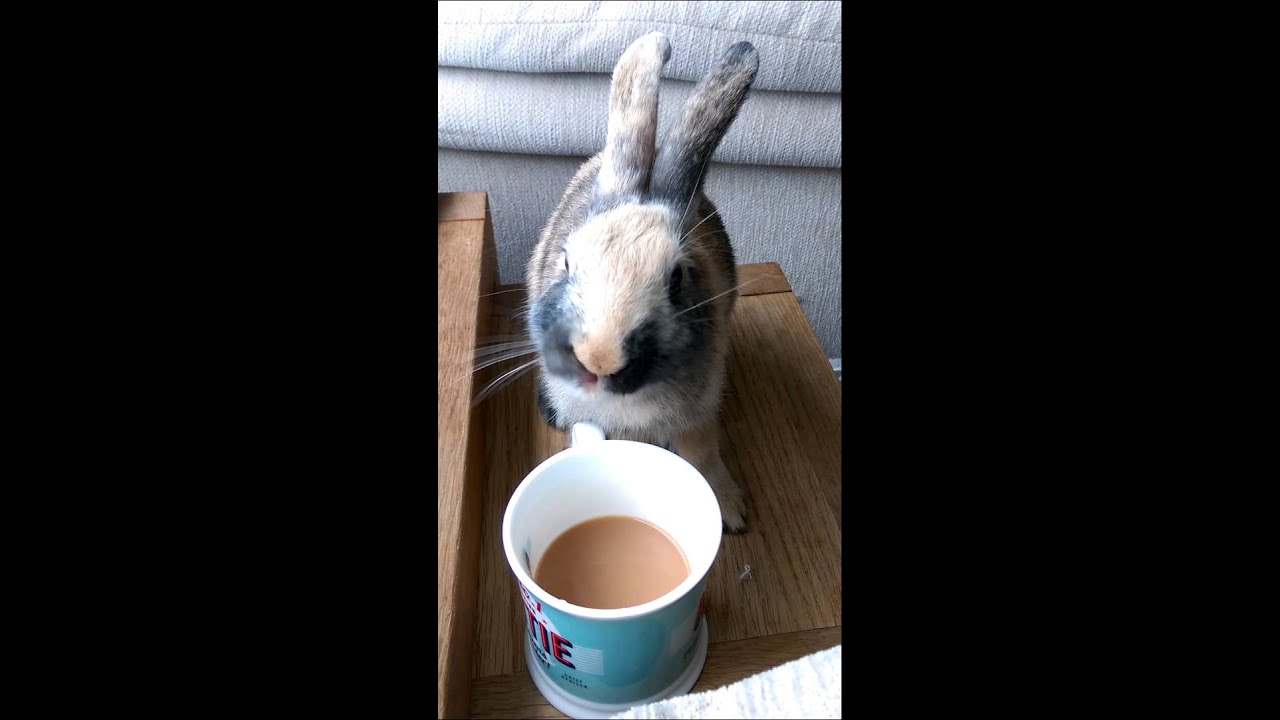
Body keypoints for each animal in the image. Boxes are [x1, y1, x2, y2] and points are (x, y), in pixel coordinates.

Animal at [524, 32, 759, 533]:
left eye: (677, 277)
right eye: (567, 261)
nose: (599, 358)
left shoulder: (700, 412)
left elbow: (702, 454)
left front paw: (730, 510)